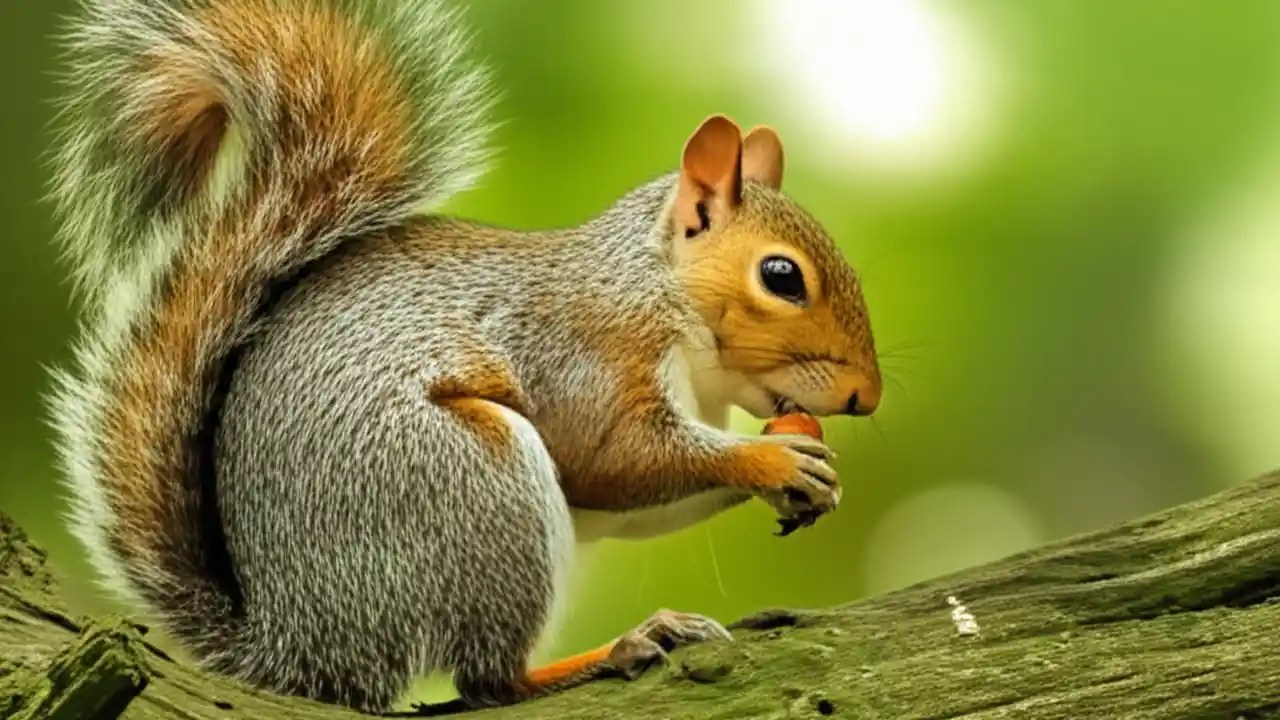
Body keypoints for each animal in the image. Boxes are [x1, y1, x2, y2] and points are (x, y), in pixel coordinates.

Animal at [47, 0, 882, 712]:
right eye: (781, 276)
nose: (865, 399)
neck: (662, 298)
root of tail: (299, 647)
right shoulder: (585, 352)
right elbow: (613, 458)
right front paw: (773, 460)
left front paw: (809, 474)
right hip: (472, 481)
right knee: (489, 682)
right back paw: (614, 649)